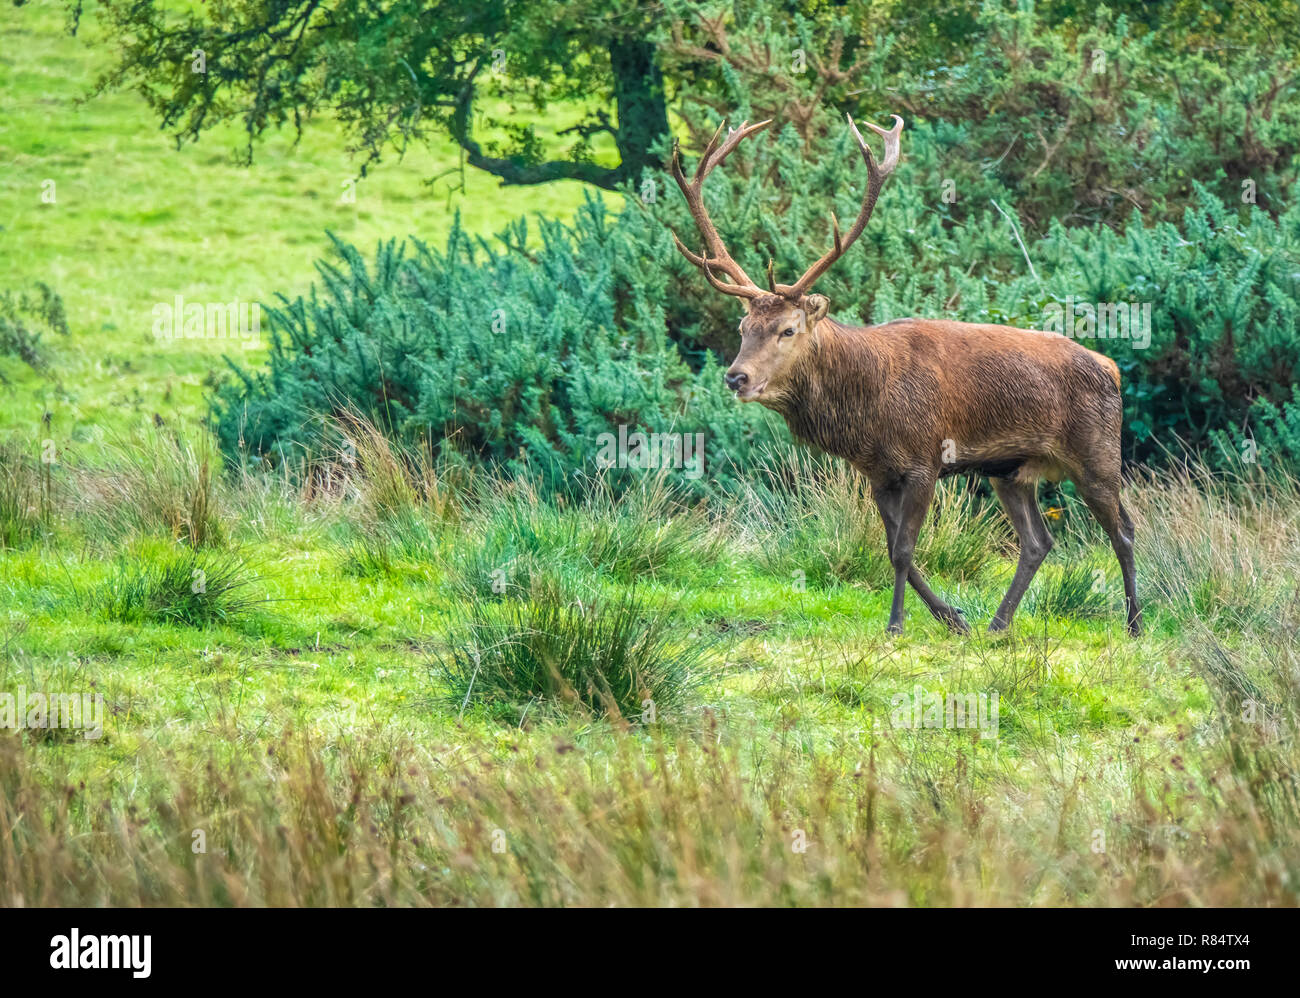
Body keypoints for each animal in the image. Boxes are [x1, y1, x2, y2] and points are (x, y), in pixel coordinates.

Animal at [669, 114, 1141, 637]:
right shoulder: (878, 472)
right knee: (1039, 541)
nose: (736, 378)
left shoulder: (924, 459)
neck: (868, 409)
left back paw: (1135, 624)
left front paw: (896, 625)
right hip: (1011, 471)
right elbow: (897, 550)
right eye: (743, 327)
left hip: (1098, 451)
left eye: (787, 329)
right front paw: (953, 618)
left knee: (1124, 529)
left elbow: (903, 550)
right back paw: (997, 624)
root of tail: (1110, 367)